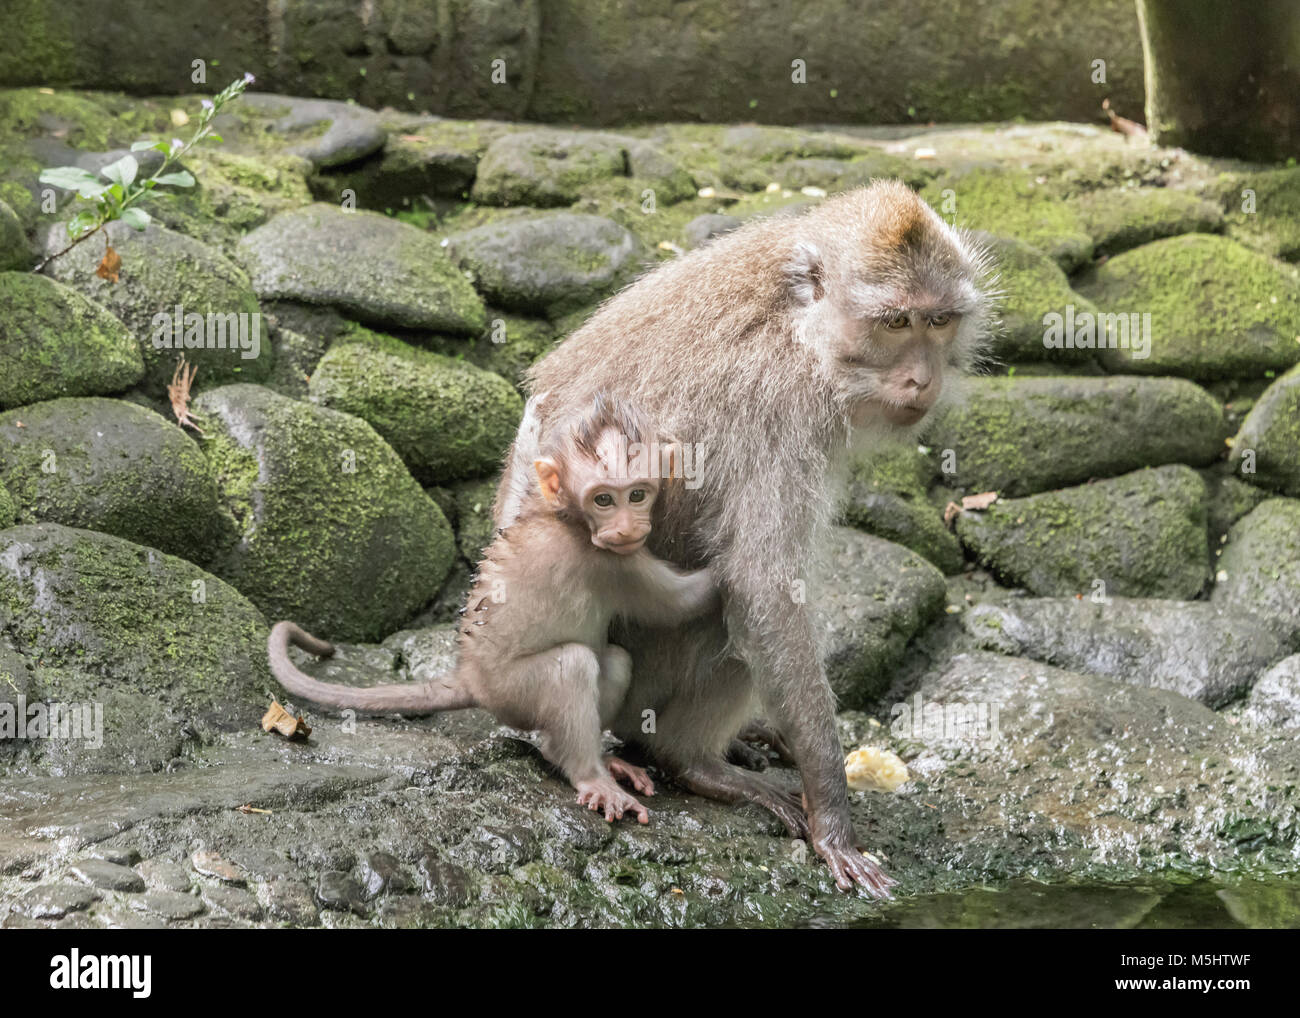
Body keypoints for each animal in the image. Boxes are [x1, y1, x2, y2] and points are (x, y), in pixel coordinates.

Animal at [268, 395, 719, 824]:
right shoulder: (611, 563)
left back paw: (588, 757)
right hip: (512, 693)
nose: (627, 528)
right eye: (604, 499)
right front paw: (723, 579)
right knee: (573, 665)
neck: (565, 517)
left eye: (637, 494)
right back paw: (589, 773)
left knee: (616, 662)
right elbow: (680, 604)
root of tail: (471, 676)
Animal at [497, 180, 995, 897]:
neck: (799, 328)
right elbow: (763, 588)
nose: (923, 378)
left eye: (939, 320)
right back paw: (691, 760)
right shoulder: (780, 408)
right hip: (639, 681)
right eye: (896, 323)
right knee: (729, 609)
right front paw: (833, 819)